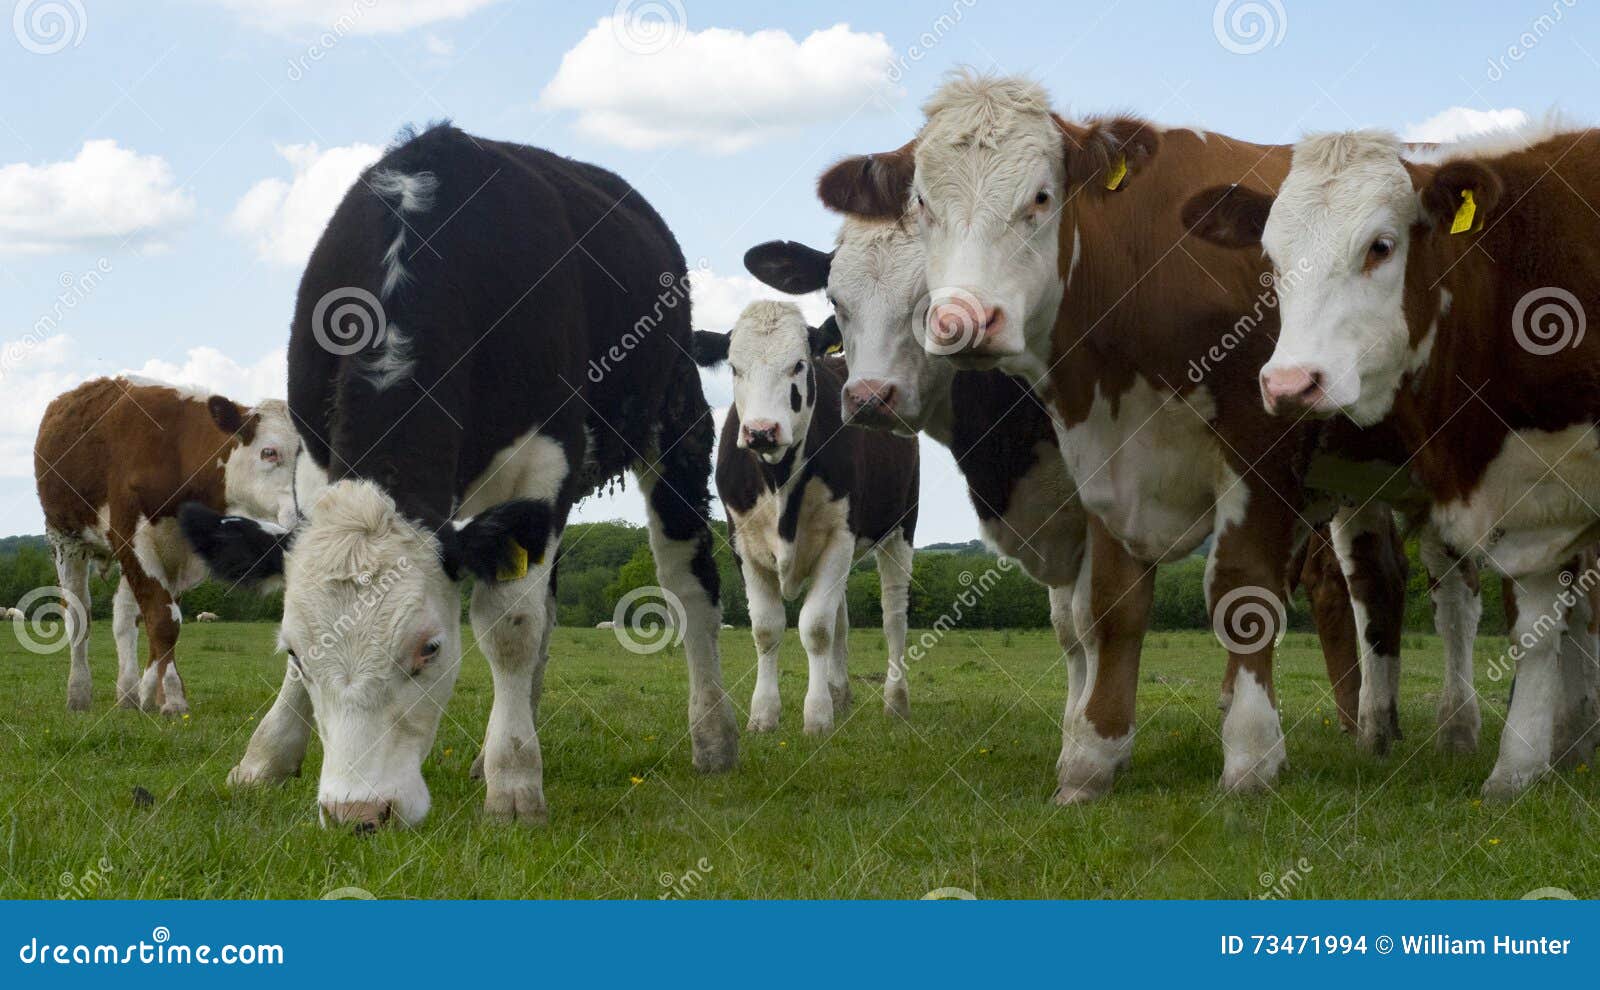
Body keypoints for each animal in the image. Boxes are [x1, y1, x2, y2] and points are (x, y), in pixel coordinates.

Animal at [34, 377, 297, 715]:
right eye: (269, 452)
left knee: (124, 618)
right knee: (79, 616)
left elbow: (162, 619)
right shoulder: (132, 538)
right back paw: (78, 695)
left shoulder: (180, 556)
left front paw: (150, 694)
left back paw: (128, 695)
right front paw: (172, 696)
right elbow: (162, 621)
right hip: (65, 540)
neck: (176, 450)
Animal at [179, 124, 738, 827]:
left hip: (676, 424)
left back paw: (713, 739)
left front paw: (514, 783)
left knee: (687, 584)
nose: (361, 814)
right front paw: (267, 756)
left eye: (431, 648)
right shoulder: (316, 469)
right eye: (297, 656)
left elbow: (509, 629)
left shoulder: (544, 463)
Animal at [692, 301, 918, 732]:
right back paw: (840, 693)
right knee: (843, 619)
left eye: (798, 364)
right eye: (734, 367)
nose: (761, 430)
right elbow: (767, 627)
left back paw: (896, 702)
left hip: (901, 527)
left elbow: (815, 627)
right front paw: (764, 714)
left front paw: (817, 717)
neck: (780, 479)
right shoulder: (741, 540)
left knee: (893, 614)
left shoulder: (840, 536)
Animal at [812, 72, 1484, 800]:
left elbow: (1241, 590)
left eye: (1041, 197)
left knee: (1454, 592)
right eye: (924, 204)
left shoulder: (1259, 445)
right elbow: (1108, 611)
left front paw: (1251, 755)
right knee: (1376, 582)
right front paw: (1092, 754)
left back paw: (1459, 729)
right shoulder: (1103, 458)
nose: (963, 320)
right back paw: (1377, 729)